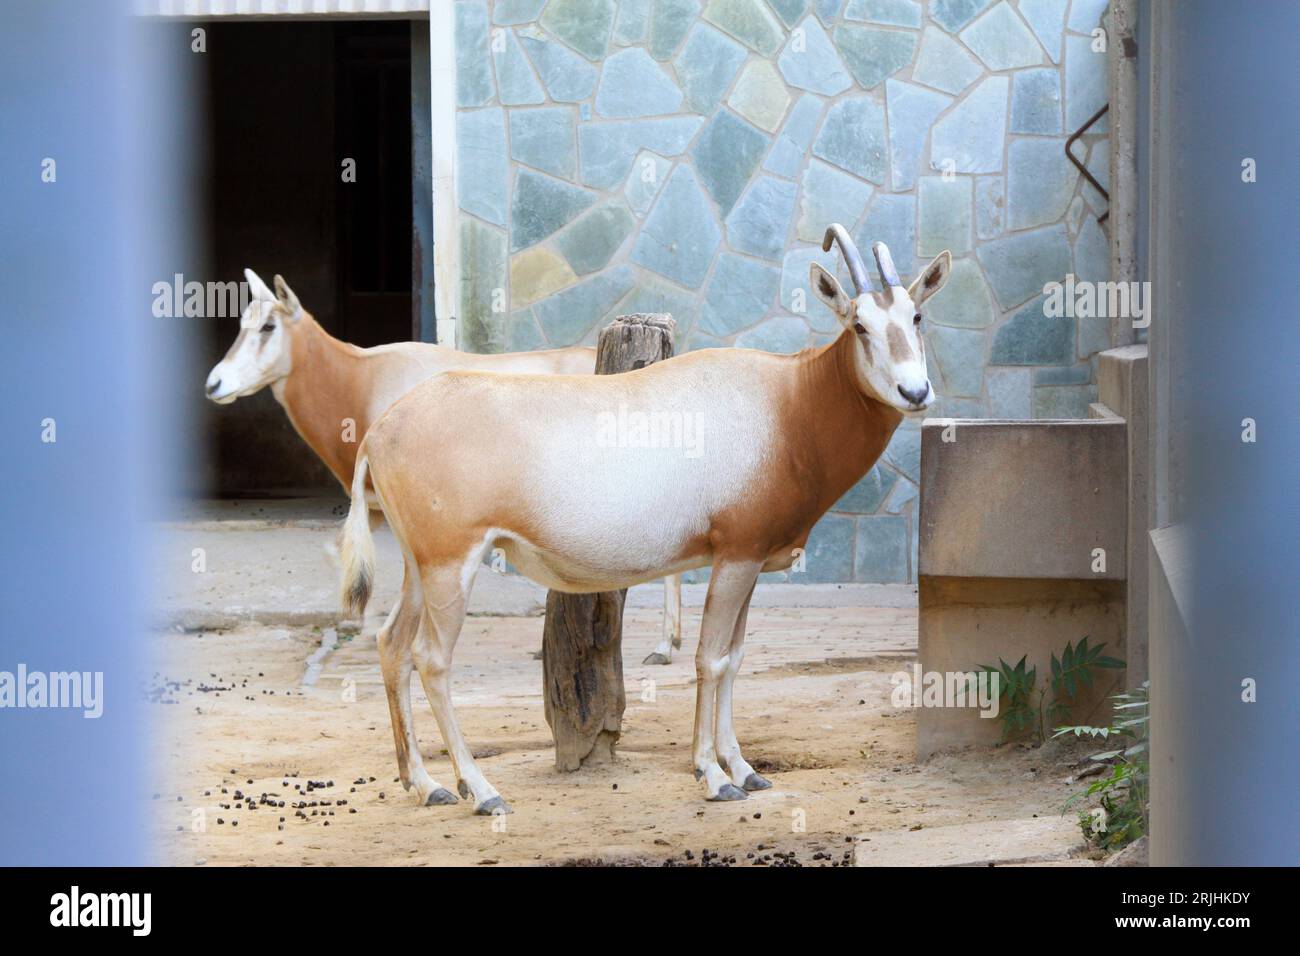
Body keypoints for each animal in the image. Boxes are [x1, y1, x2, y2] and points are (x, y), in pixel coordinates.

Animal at [203, 268, 683, 657]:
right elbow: (339, 553)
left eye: (269, 325)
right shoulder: (376, 509)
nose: (215, 384)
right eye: (243, 324)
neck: (362, 378)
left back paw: (663, 645)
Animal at [337, 227, 951, 813]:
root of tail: (381, 431)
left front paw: (745, 770)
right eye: (859, 325)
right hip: (450, 564)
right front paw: (712, 777)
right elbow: (710, 659)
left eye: (916, 316)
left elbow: (735, 658)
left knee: (392, 645)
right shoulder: (735, 557)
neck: (788, 402)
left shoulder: (750, 561)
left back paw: (425, 784)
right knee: (431, 659)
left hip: (421, 567)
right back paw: (481, 791)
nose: (915, 391)